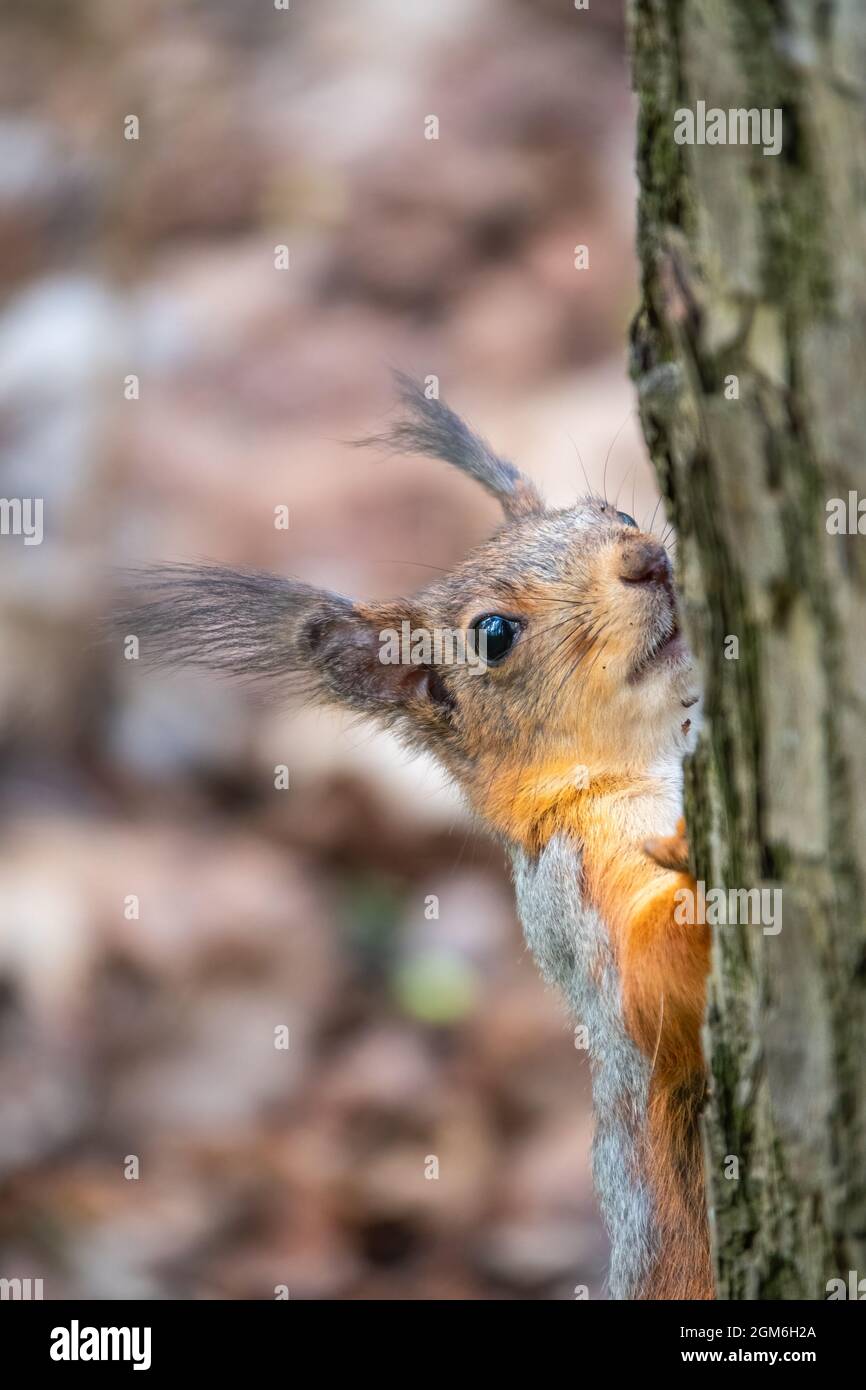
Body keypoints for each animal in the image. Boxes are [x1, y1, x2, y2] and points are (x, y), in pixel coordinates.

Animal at [125, 374, 712, 1300]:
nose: (646, 558)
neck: (649, 757)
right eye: (494, 634)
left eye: (613, 510)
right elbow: (647, 981)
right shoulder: (573, 890)